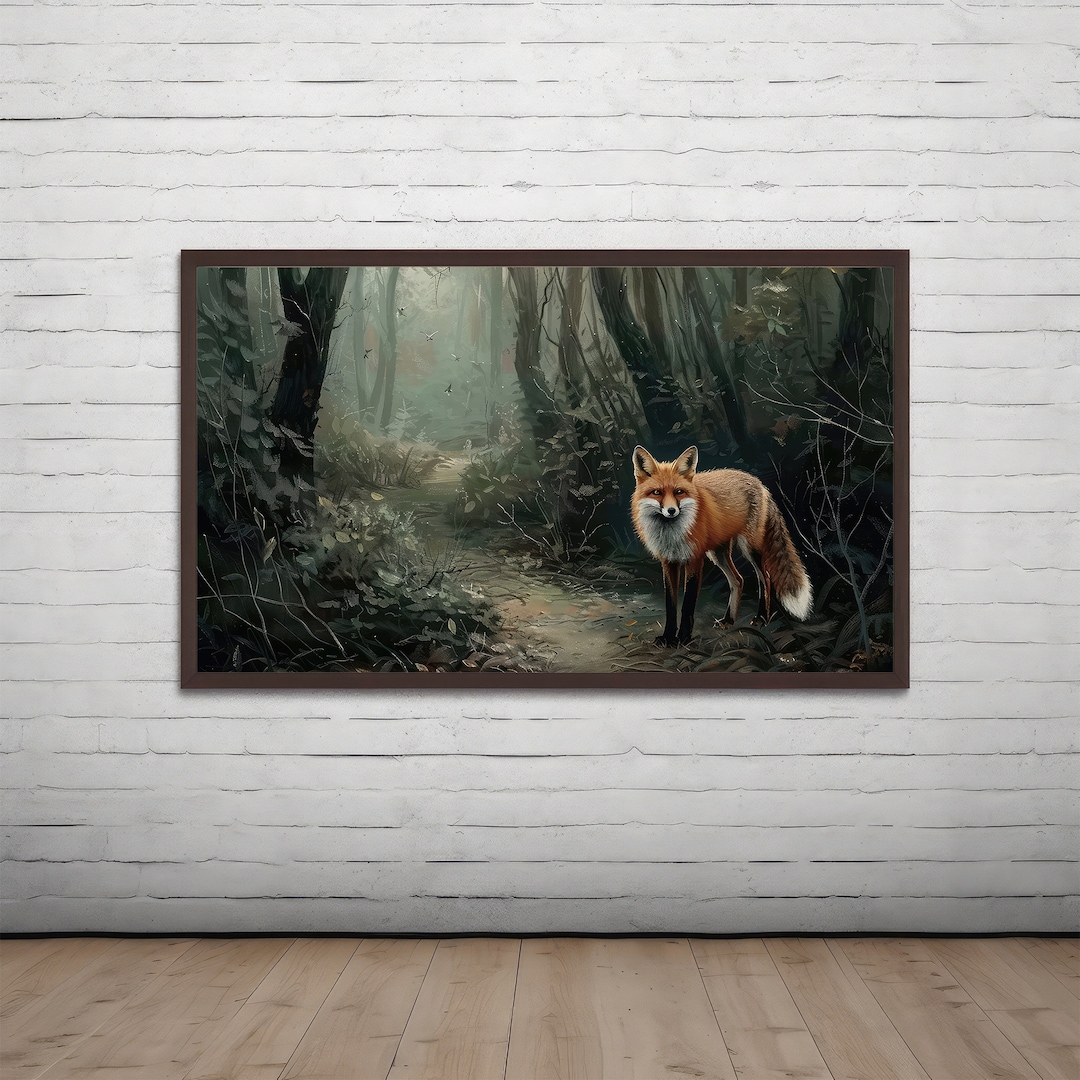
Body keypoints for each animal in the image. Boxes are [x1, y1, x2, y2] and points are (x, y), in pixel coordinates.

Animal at [631, 445, 812, 646]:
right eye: (657, 492)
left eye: (679, 492)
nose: (671, 511)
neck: (672, 533)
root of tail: (759, 484)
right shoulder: (669, 562)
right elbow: (671, 606)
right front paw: (668, 638)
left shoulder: (695, 559)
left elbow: (687, 605)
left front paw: (684, 638)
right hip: (718, 553)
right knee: (738, 580)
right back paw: (729, 620)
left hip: (749, 548)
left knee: (765, 577)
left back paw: (761, 618)